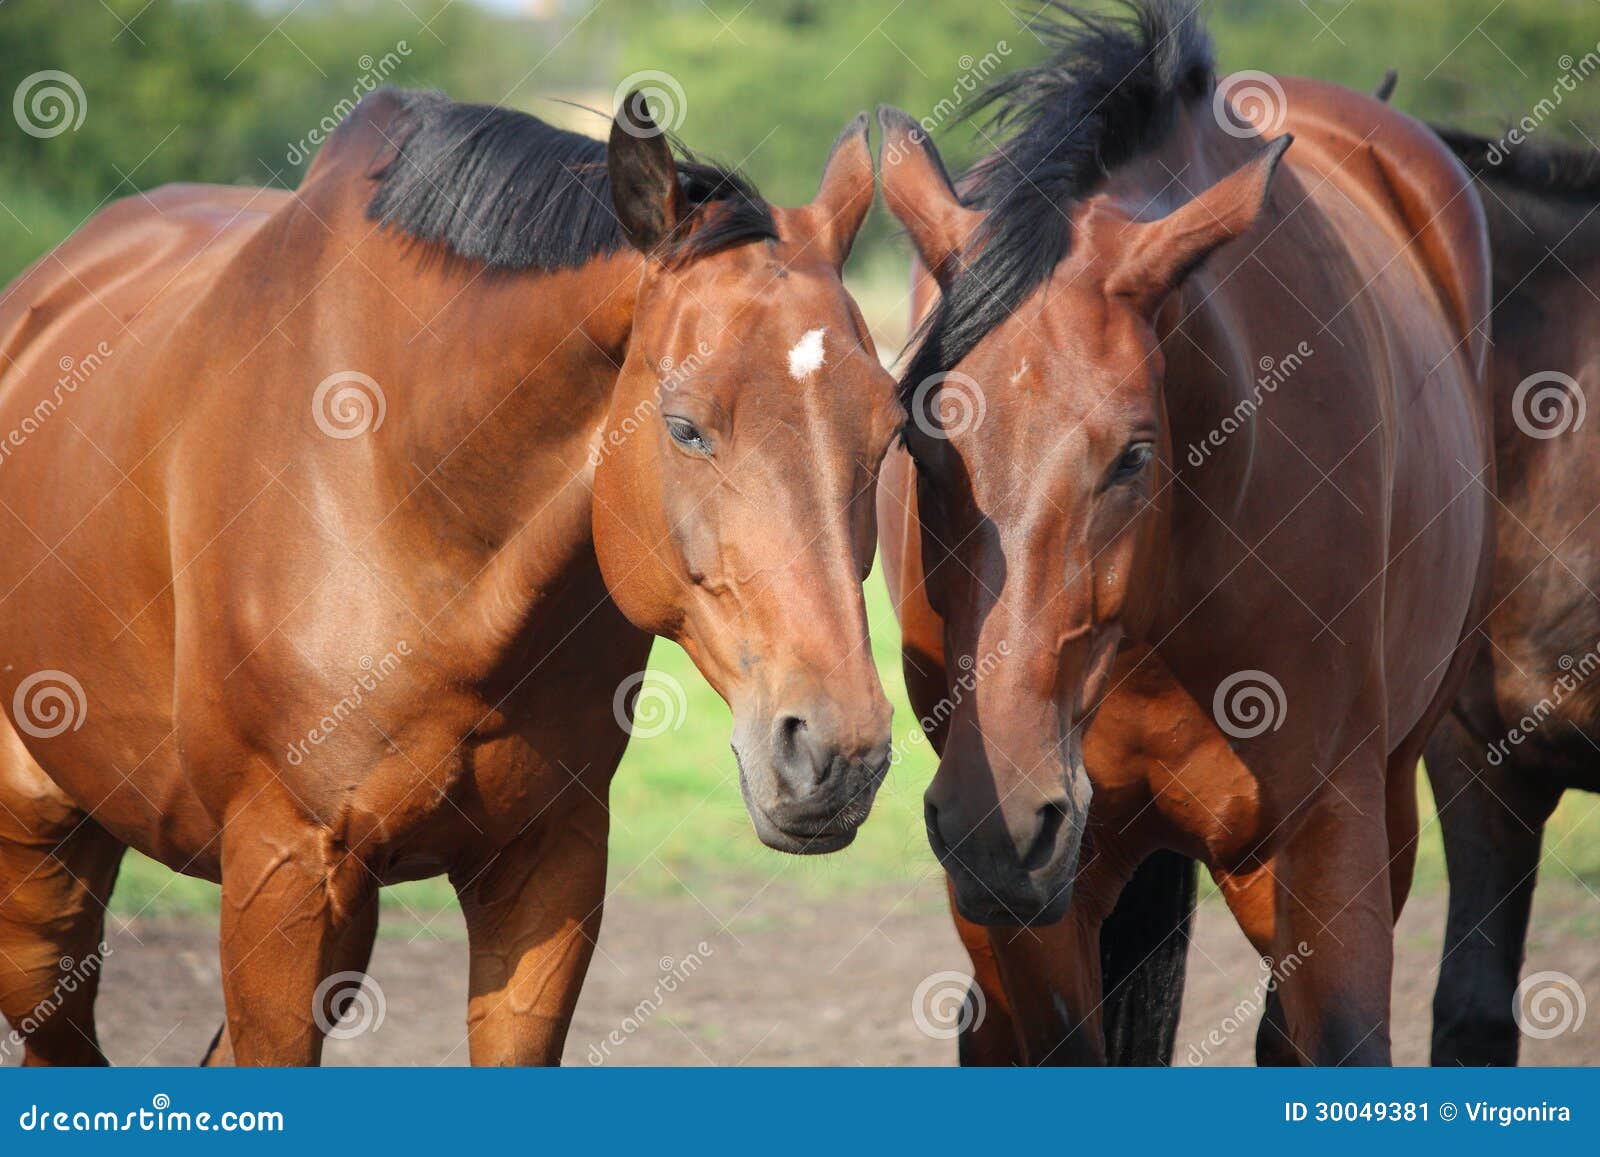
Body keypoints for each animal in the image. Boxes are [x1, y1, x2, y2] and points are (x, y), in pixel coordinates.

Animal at [0, 88, 904, 1065]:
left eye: (891, 427)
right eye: (686, 426)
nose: (837, 755)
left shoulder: (547, 862)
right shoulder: (282, 870)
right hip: (40, 872)